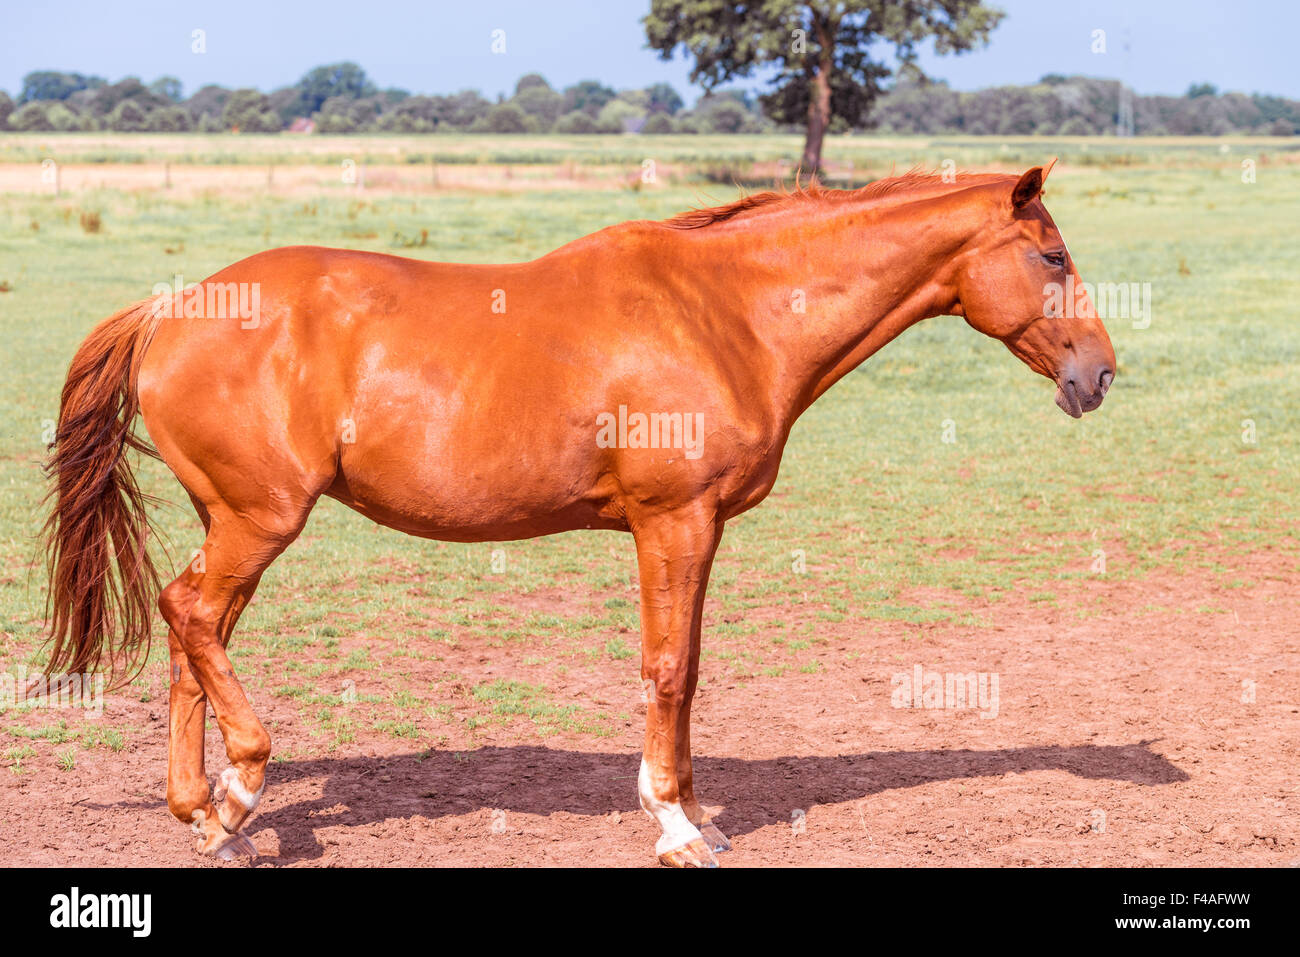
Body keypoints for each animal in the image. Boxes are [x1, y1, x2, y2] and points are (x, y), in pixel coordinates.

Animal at [42, 162, 1115, 867]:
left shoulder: (698, 528)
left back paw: (203, 814)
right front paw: (676, 827)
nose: (1098, 374)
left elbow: (691, 668)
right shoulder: (673, 521)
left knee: (194, 629)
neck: (727, 312)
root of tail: (168, 310)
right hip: (260, 520)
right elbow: (668, 668)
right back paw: (239, 793)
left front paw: (701, 814)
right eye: (1053, 253)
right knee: (193, 617)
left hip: (233, 521)